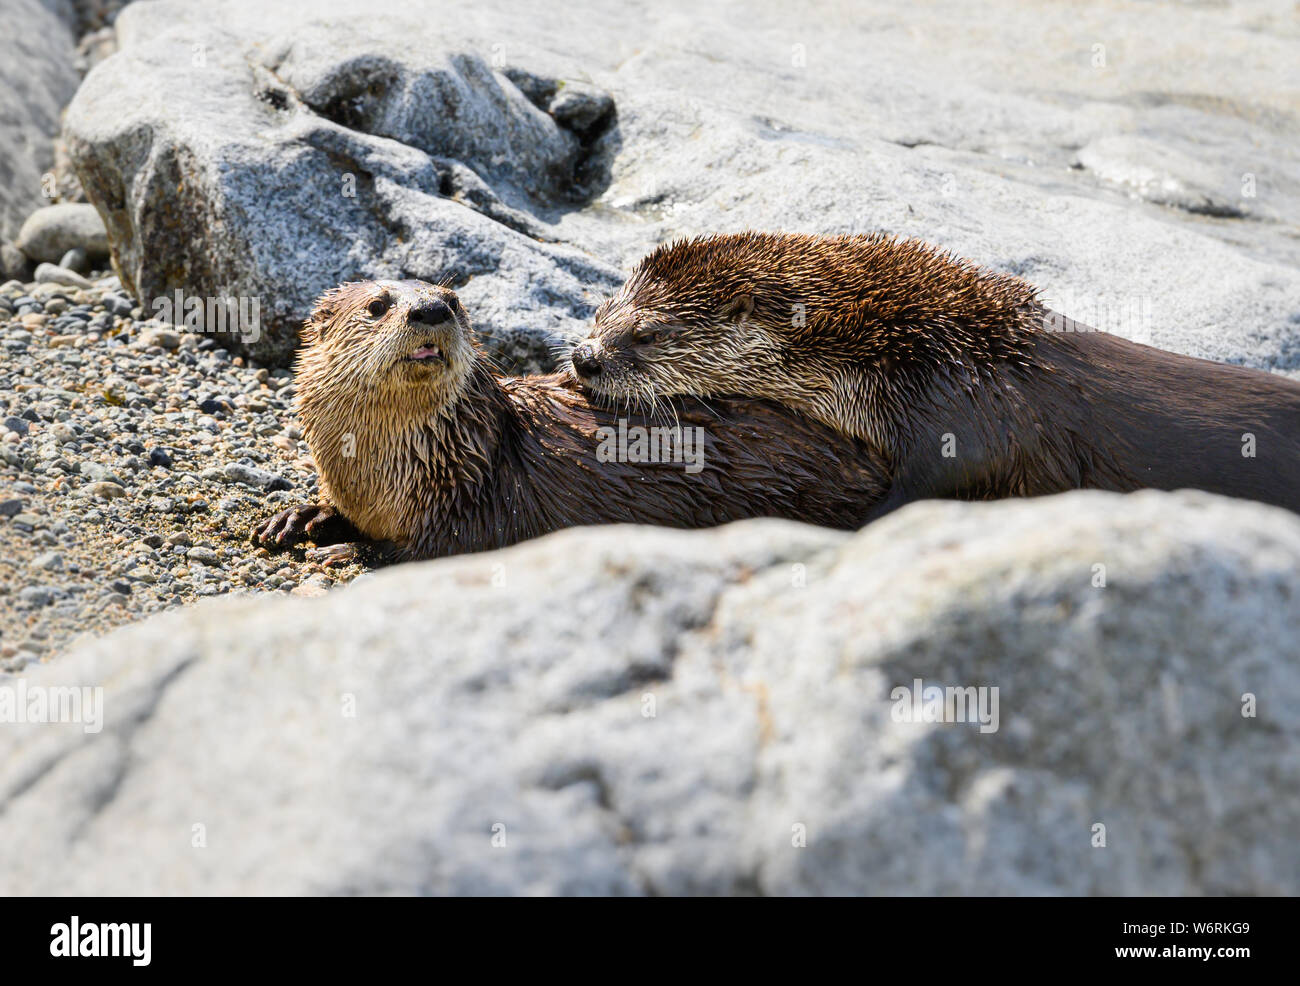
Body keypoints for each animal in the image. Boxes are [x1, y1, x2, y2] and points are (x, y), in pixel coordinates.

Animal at [254, 279, 891, 563]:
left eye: (454, 301)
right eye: (378, 304)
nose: (431, 308)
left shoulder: (488, 503)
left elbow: (450, 548)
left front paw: (356, 552)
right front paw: (303, 516)